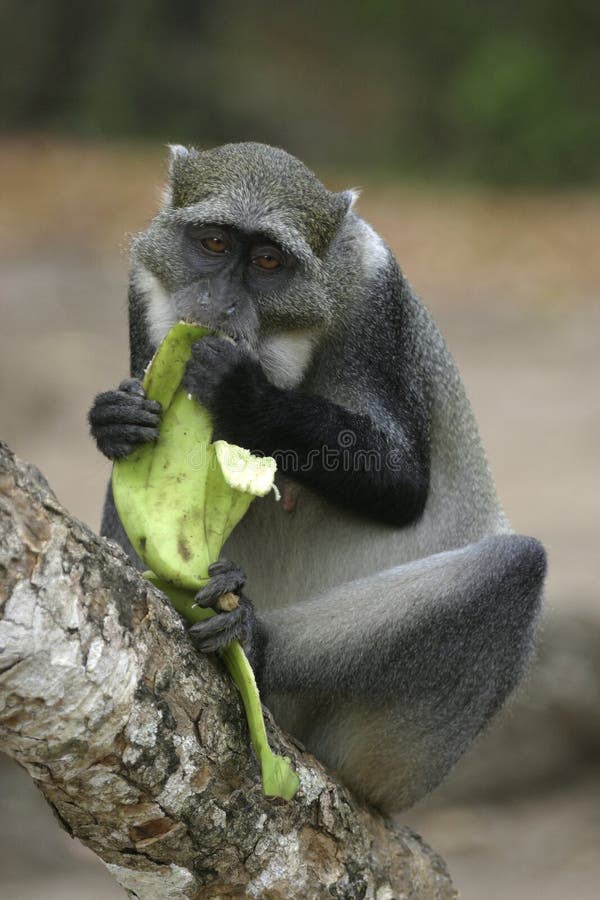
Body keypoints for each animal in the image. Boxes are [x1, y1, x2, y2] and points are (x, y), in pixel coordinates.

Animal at [88, 142, 546, 813]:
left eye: (268, 261)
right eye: (214, 244)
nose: (218, 305)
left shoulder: (376, 299)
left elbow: (403, 485)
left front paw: (244, 395)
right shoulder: (141, 288)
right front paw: (115, 420)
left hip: (394, 754)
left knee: (516, 567)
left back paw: (253, 639)